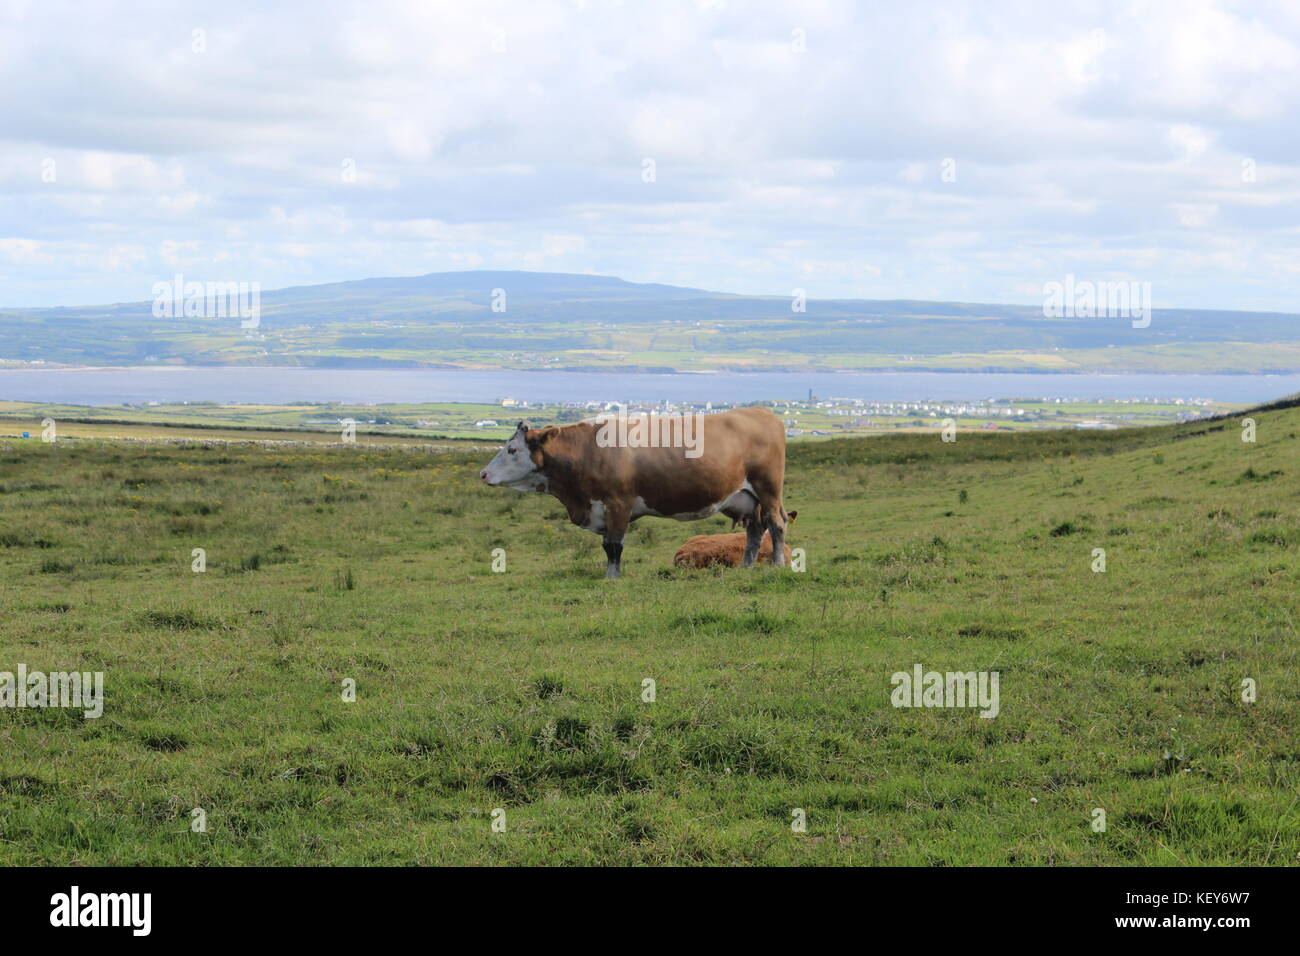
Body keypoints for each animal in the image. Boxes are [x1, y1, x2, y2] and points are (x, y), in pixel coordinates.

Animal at [479, 406, 789, 578]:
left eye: (512, 449)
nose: (483, 474)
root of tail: (760, 411)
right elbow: (607, 545)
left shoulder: (618, 505)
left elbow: (614, 546)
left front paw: (612, 577)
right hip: (748, 498)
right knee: (754, 530)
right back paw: (746, 567)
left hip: (768, 489)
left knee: (775, 524)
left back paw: (778, 564)